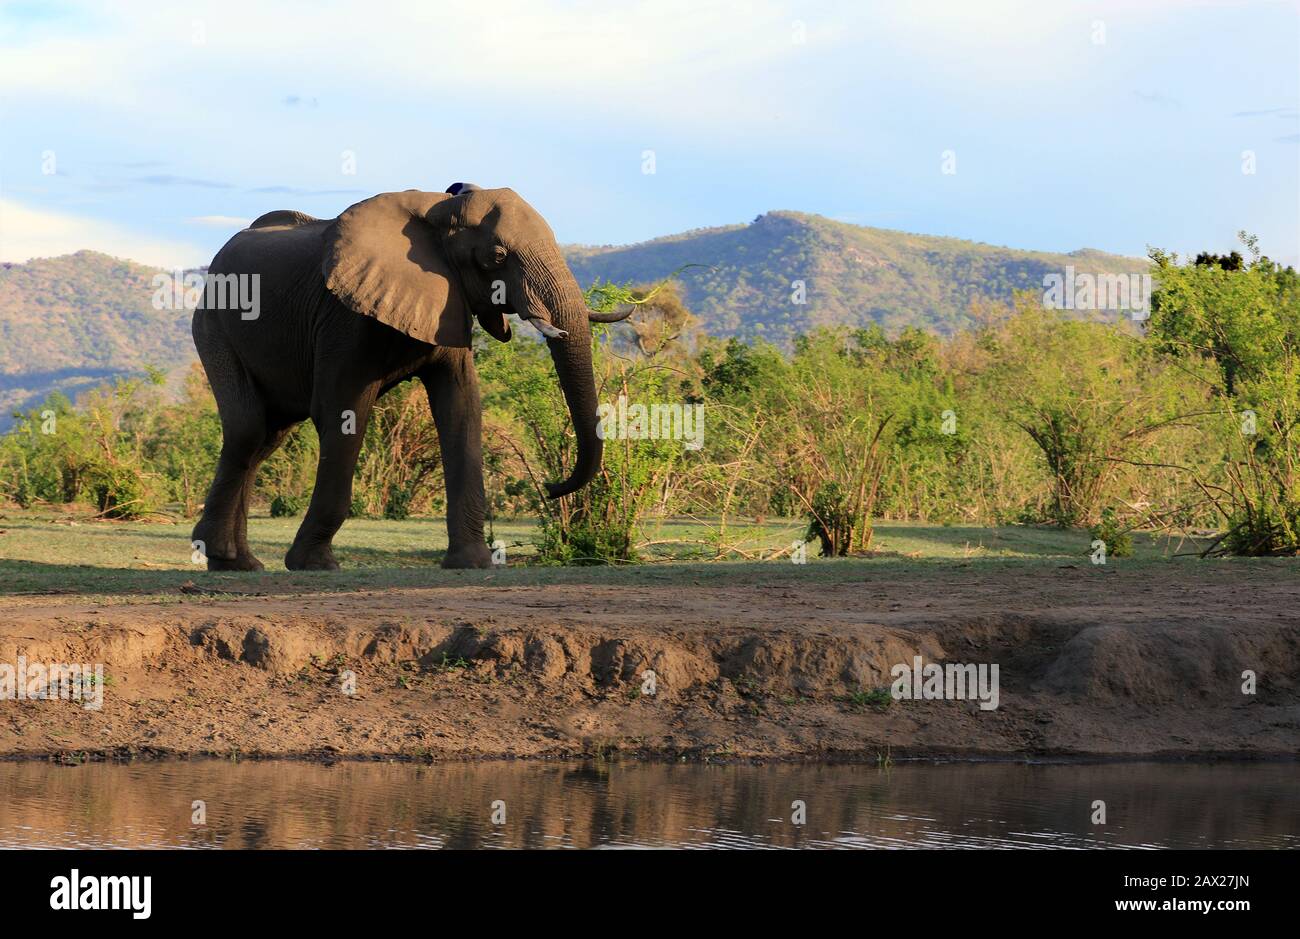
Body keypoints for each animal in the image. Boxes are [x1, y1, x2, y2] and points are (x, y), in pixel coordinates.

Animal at [189, 184, 629, 571]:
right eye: (496, 256)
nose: (552, 487)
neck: (438, 211)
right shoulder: (344, 317)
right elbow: (340, 412)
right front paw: (315, 564)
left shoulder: (448, 302)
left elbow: (462, 410)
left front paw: (472, 563)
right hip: (213, 326)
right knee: (248, 429)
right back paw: (224, 557)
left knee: (265, 439)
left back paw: (237, 563)